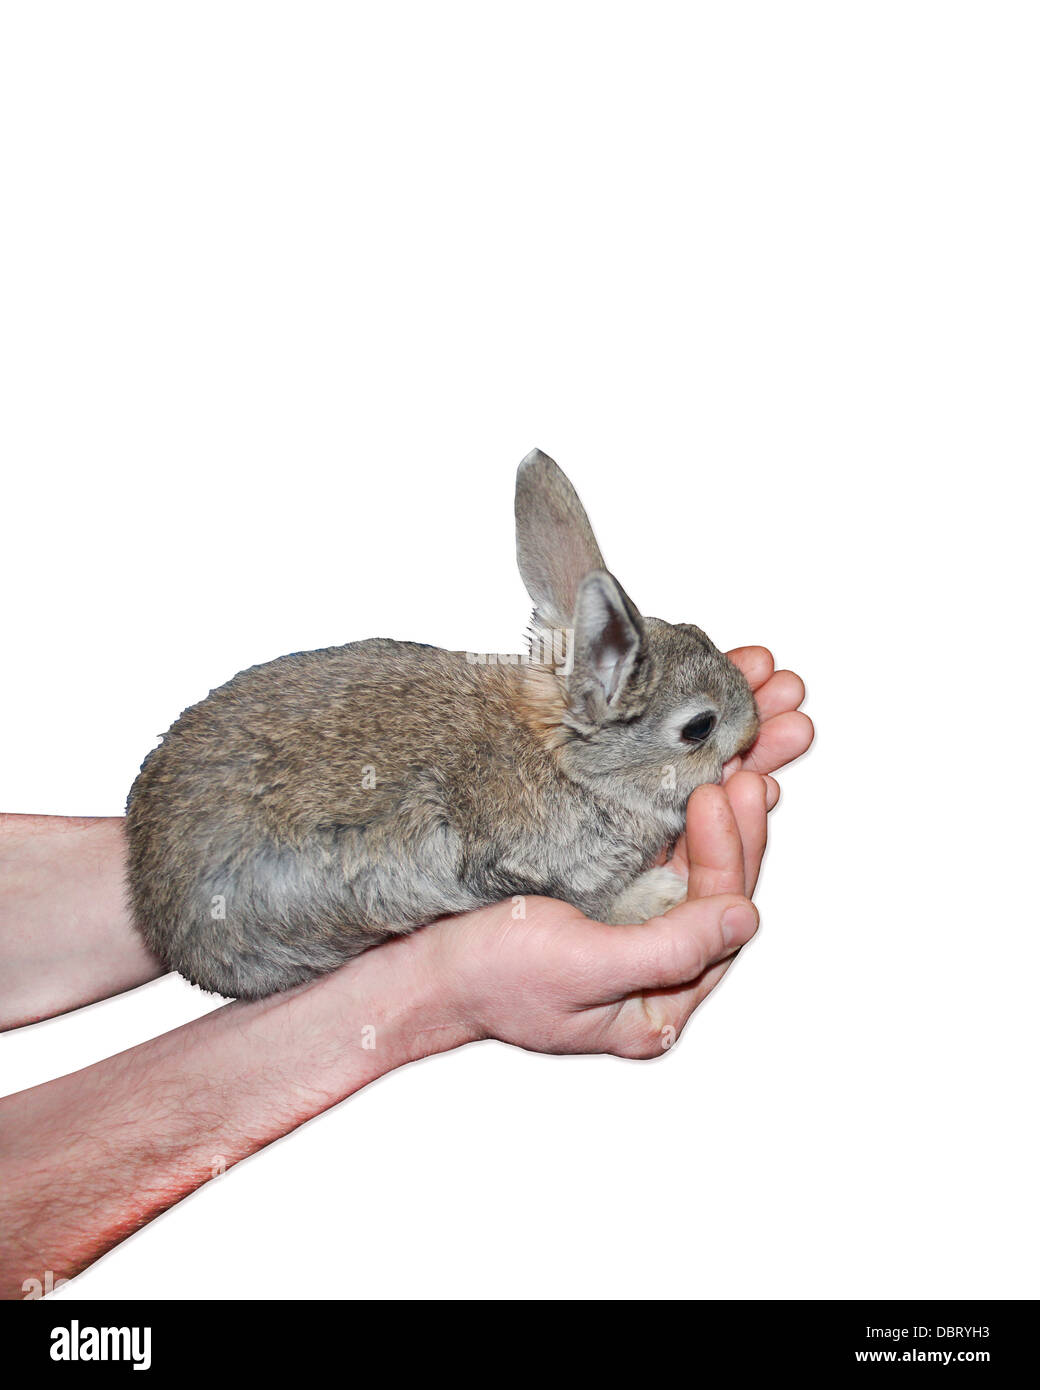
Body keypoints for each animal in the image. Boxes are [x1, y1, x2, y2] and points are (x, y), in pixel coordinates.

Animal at [125, 450, 759, 998]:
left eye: (695, 628)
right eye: (699, 728)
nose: (752, 726)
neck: (571, 764)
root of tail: (151, 908)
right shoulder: (537, 870)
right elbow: (593, 904)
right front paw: (661, 893)